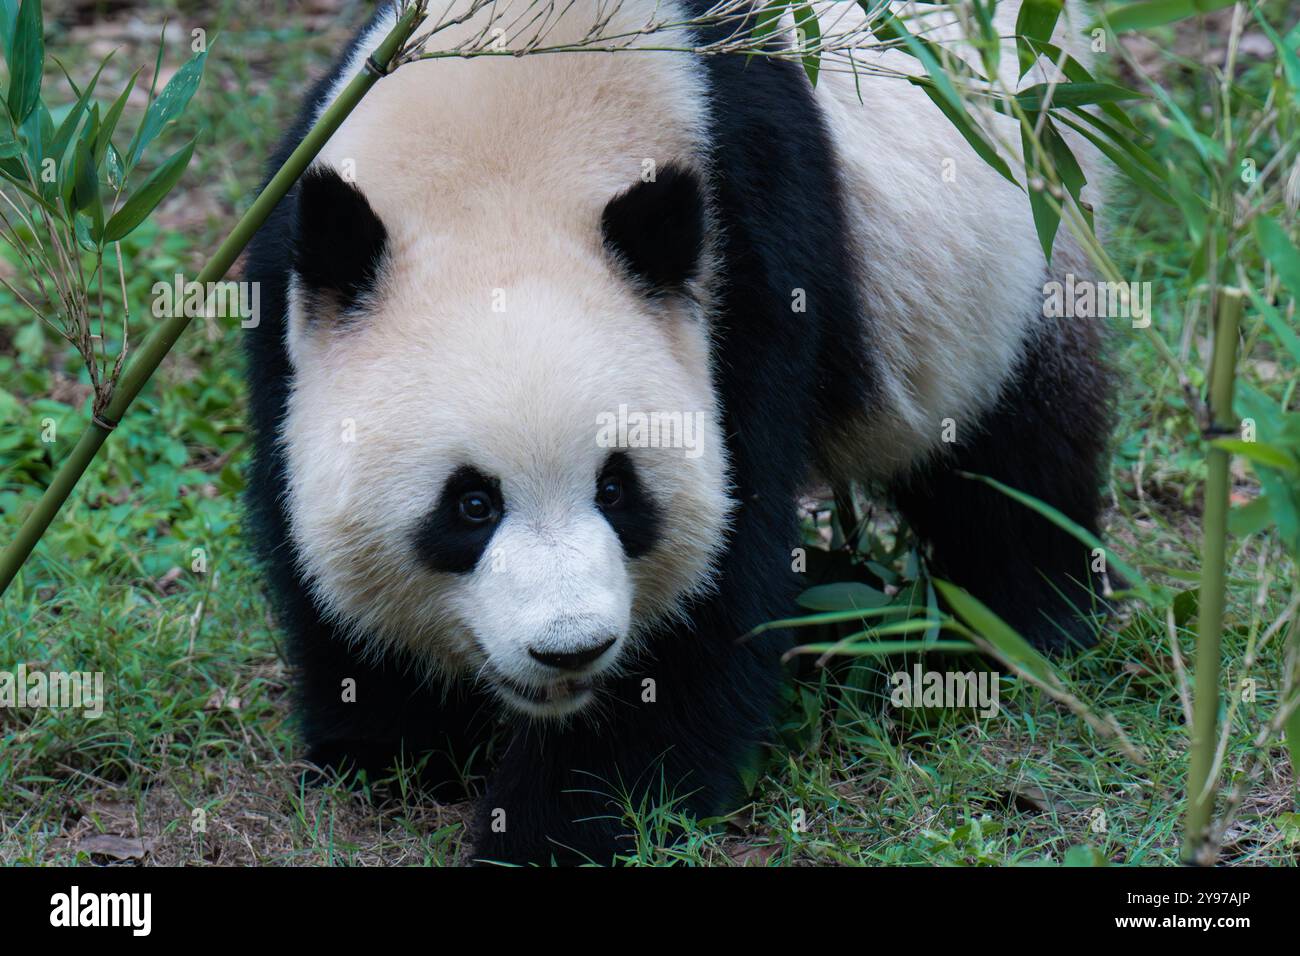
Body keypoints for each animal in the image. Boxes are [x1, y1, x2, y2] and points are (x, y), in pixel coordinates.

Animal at [244, 0, 1112, 864]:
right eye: (471, 505)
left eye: (616, 489)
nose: (569, 648)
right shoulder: (289, 264)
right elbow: (302, 515)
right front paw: (385, 743)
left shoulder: (749, 260)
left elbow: (720, 575)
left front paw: (552, 829)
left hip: (1015, 248)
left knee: (1013, 466)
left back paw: (1016, 629)